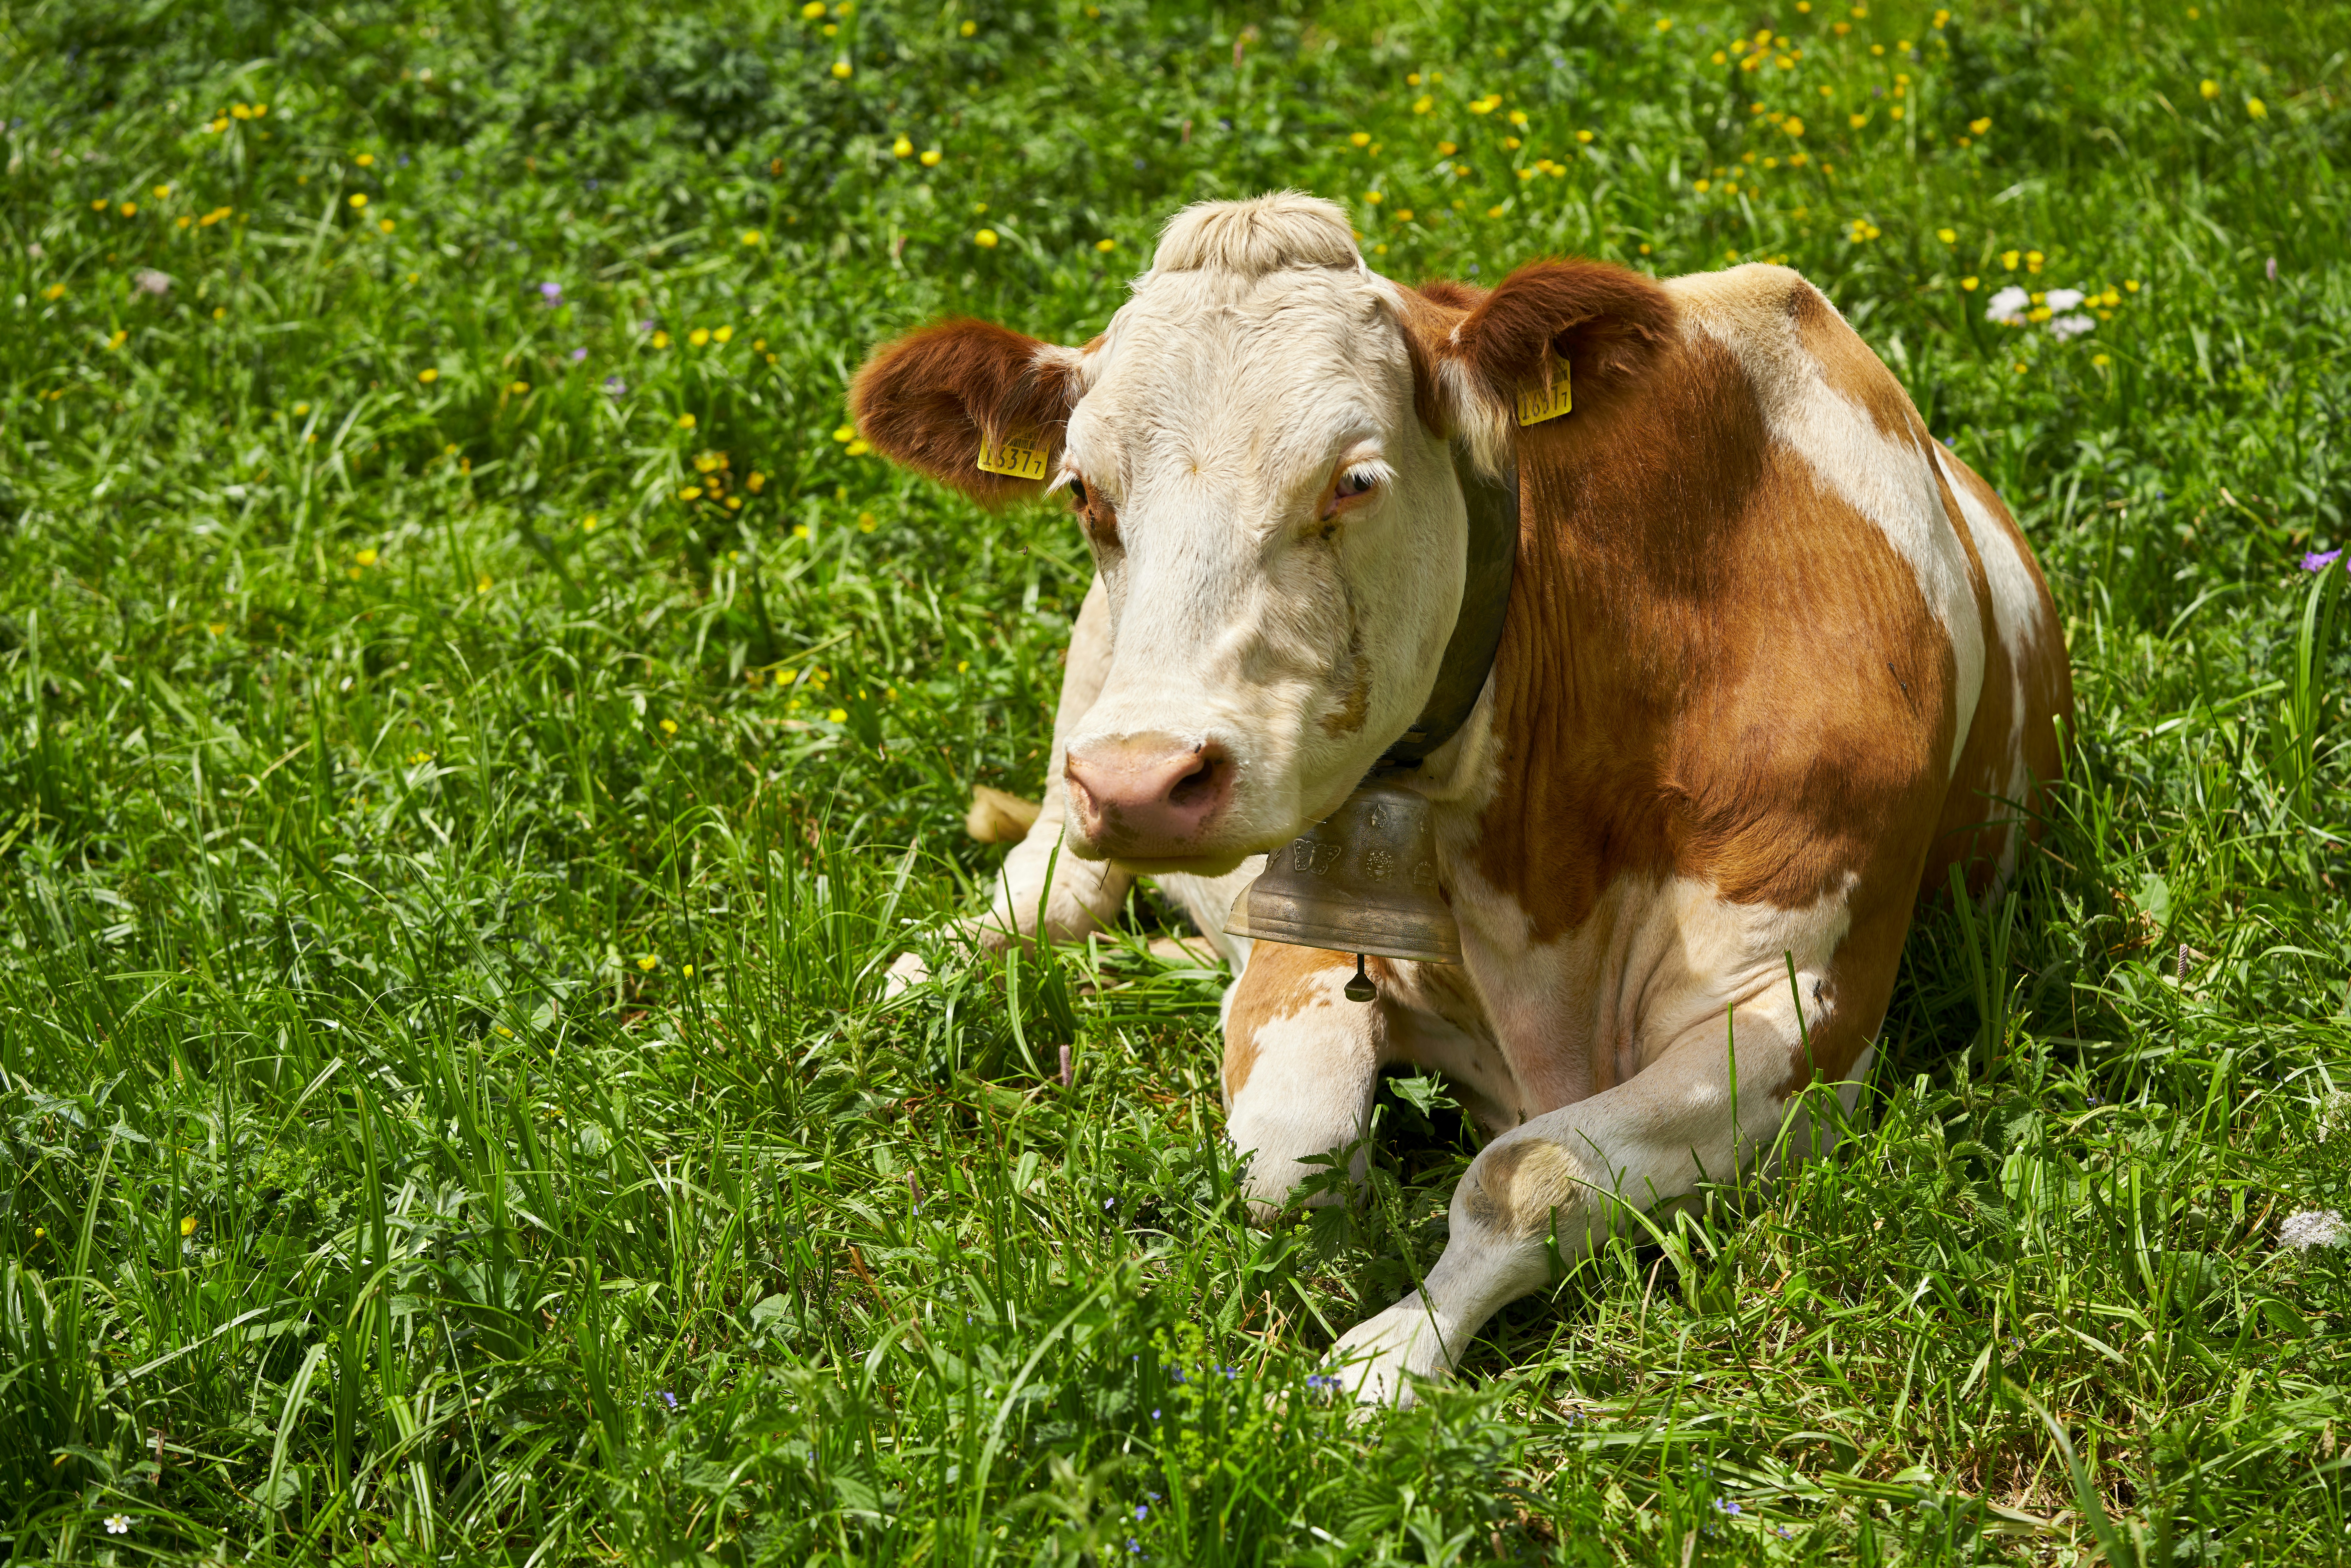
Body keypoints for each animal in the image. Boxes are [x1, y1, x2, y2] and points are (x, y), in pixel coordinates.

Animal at [852, 193, 2073, 1406]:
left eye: (1352, 479)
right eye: (1084, 493)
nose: (1144, 782)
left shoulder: (1800, 1022)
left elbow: (1525, 1171)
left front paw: (1382, 1359)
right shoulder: (1305, 922)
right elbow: (1287, 1156)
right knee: (1049, 887)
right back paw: (922, 977)